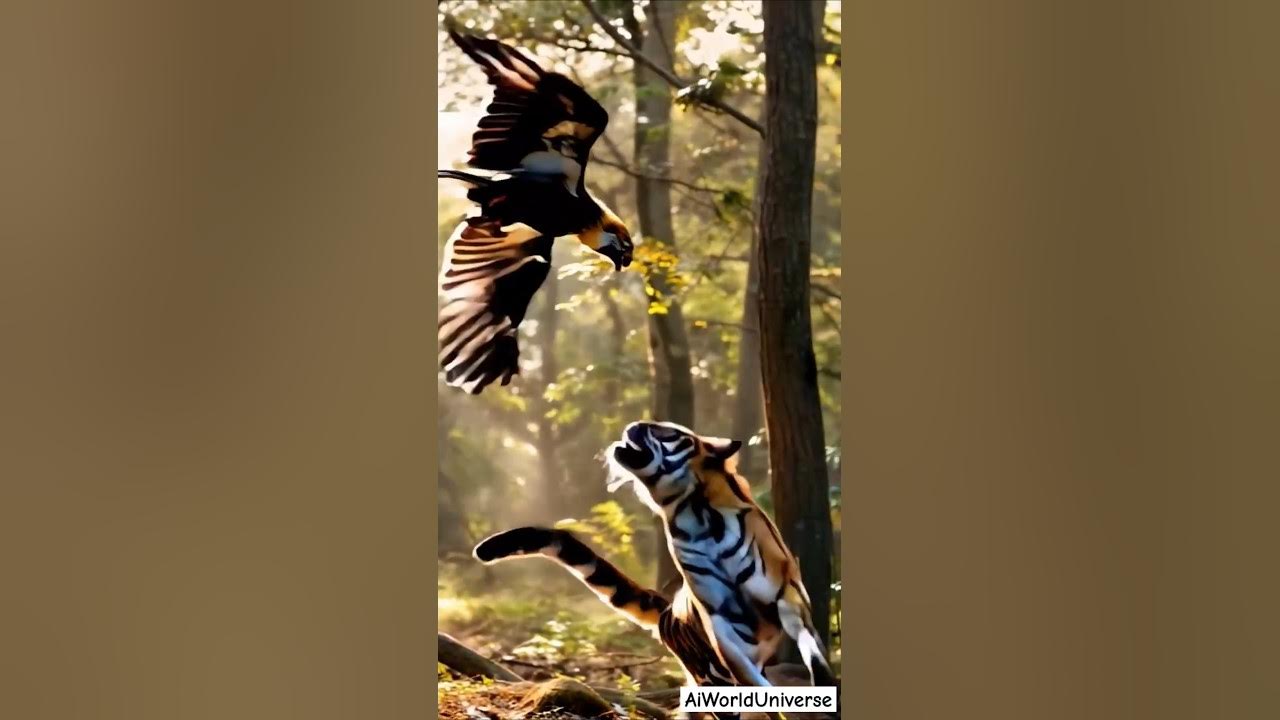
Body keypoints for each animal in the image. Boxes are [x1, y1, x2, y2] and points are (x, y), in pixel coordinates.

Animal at [605, 421, 838, 692]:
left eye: (672, 432)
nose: (634, 424)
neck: (694, 519)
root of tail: (668, 610)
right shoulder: (719, 621)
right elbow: (751, 680)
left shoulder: (788, 596)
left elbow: (813, 652)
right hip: (707, 674)